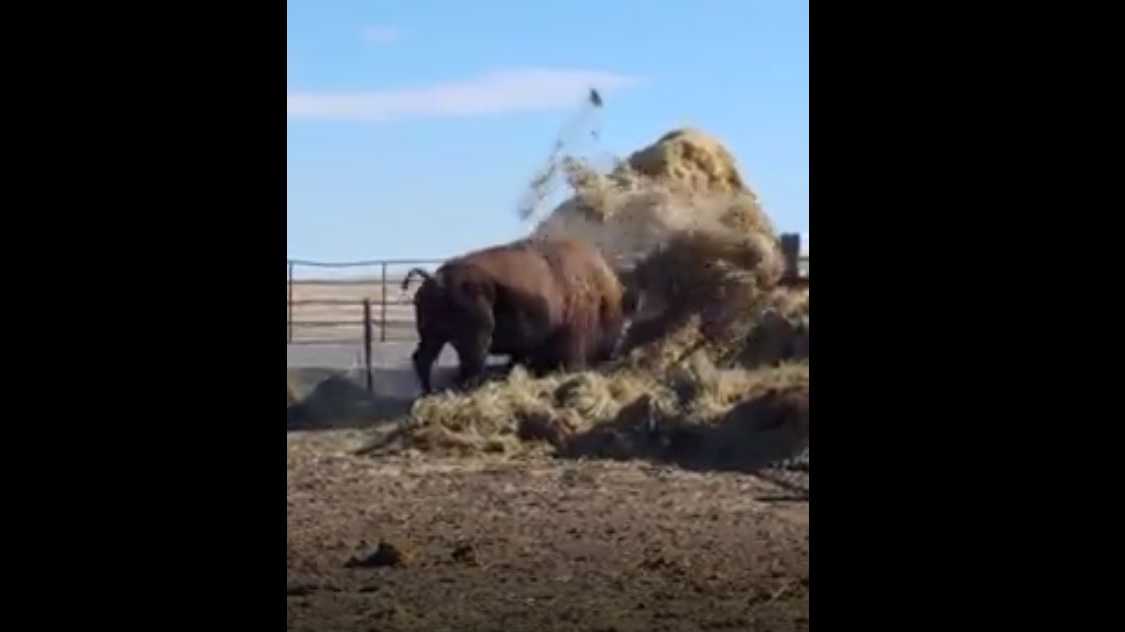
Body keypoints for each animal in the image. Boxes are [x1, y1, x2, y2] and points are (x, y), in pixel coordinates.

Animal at [402, 238, 635, 394]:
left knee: (423, 359)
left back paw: (428, 393)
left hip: (433, 337)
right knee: (469, 365)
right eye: (616, 318)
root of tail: (435, 278)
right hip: (475, 337)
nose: (610, 353)